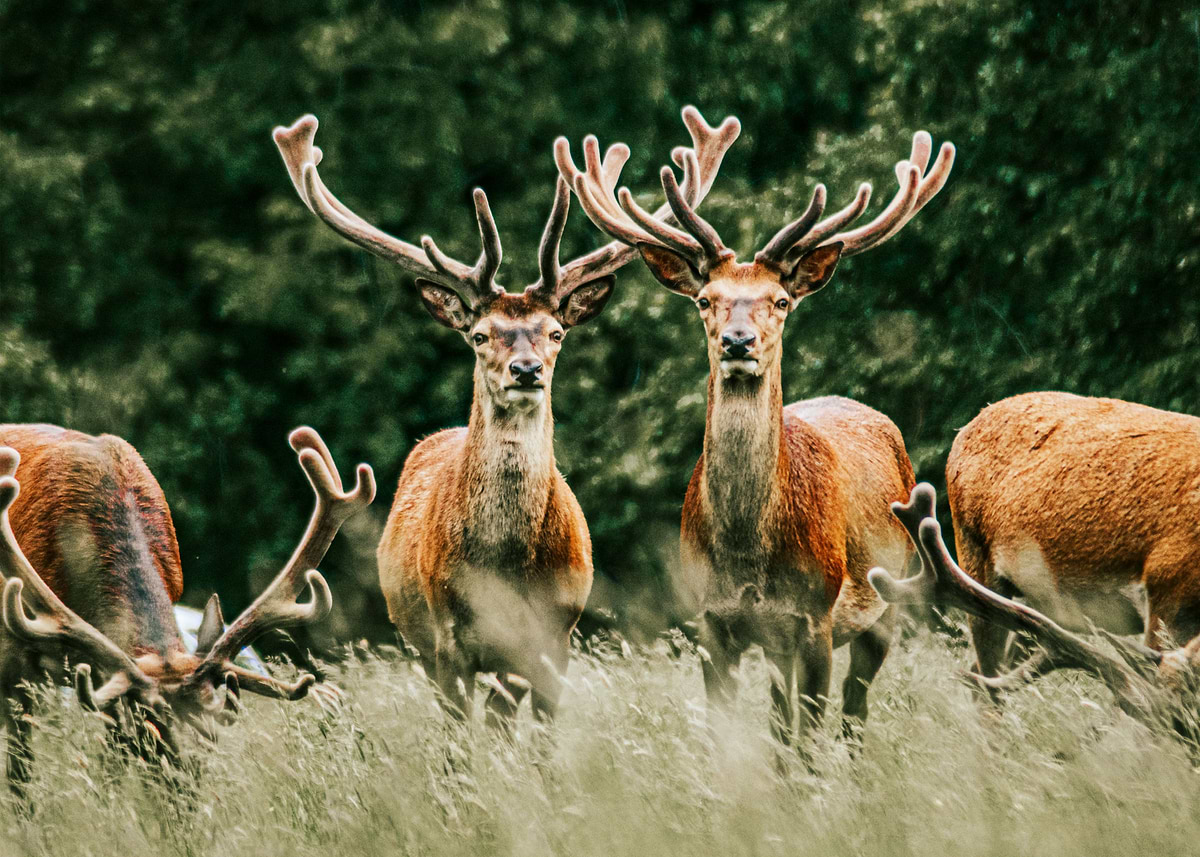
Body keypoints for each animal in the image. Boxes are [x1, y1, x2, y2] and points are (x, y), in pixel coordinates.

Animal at [0, 423, 373, 794]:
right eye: (151, 726)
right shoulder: (14, 666)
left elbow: (111, 764)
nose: (186, 783)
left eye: (215, 724)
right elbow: (21, 774)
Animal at [272, 107, 740, 727]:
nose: (525, 369)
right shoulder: (446, 639)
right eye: (479, 334)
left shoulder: (556, 637)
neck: (506, 572)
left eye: (556, 332)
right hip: (419, 640)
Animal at [556, 123, 954, 748]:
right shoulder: (712, 622)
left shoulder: (815, 619)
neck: (747, 553)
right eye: (705, 300)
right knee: (783, 720)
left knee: (853, 713)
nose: (738, 341)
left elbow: (811, 737)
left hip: (891, 597)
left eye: (781, 300)